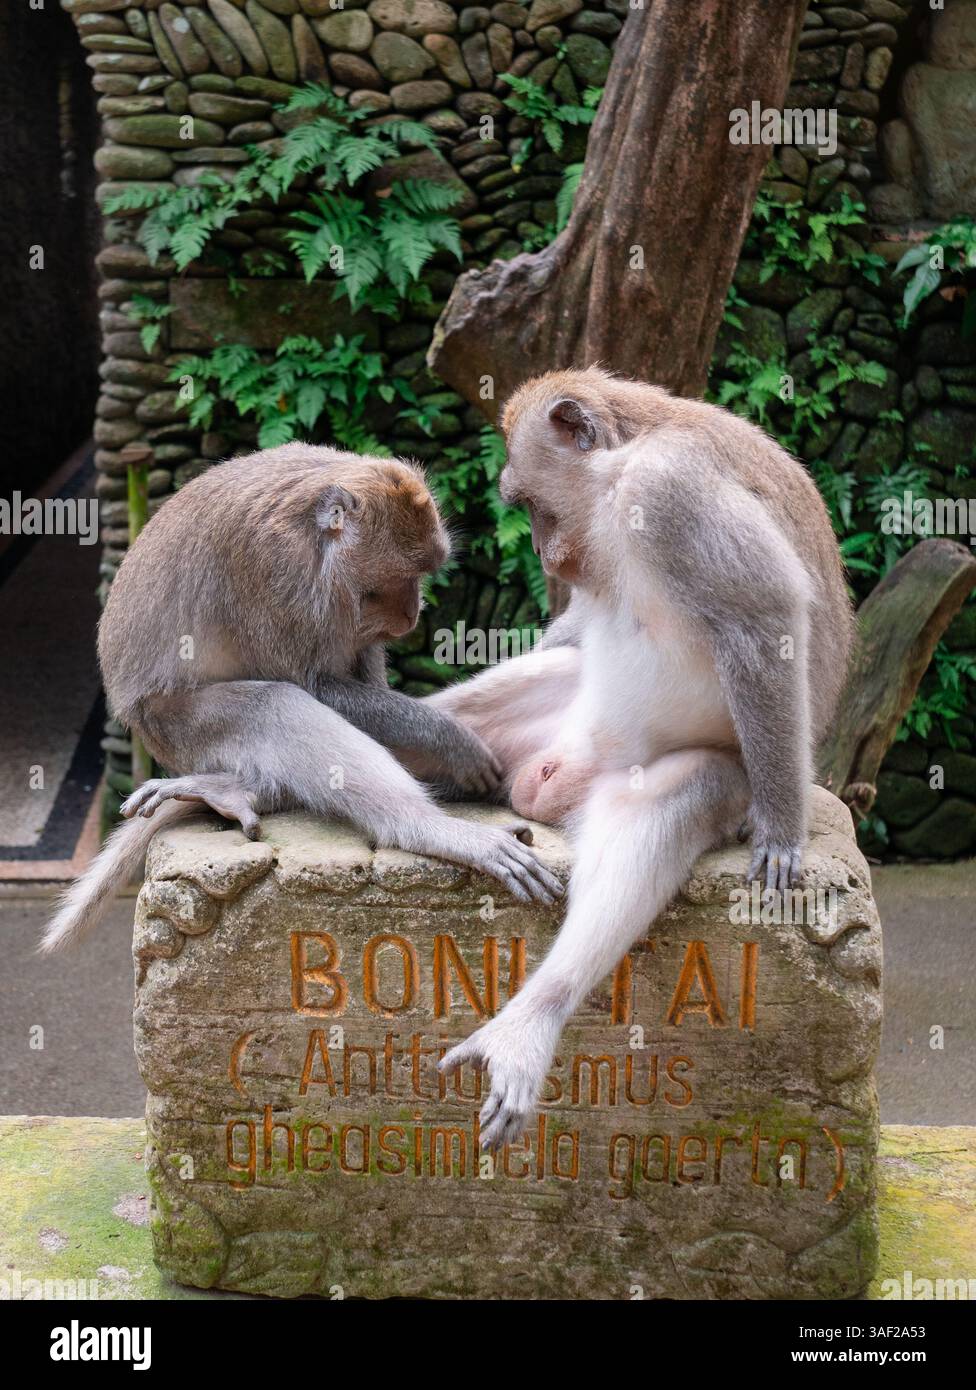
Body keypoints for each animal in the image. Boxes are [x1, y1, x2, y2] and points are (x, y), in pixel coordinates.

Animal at [39, 443, 562, 954]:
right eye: (405, 572)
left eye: (425, 572)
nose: (414, 614)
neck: (317, 542)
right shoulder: (270, 568)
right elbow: (307, 684)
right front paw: (452, 740)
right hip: (174, 727)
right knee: (277, 704)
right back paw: (426, 829)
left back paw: (239, 790)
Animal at [428, 366, 854, 1150]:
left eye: (530, 505)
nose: (544, 553)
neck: (624, 461)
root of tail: (540, 789)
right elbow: (573, 626)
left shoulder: (669, 493)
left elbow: (765, 620)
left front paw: (783, 832)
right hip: (551, 724)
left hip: (703, 773)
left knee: (653, 812)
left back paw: (533, 1020)